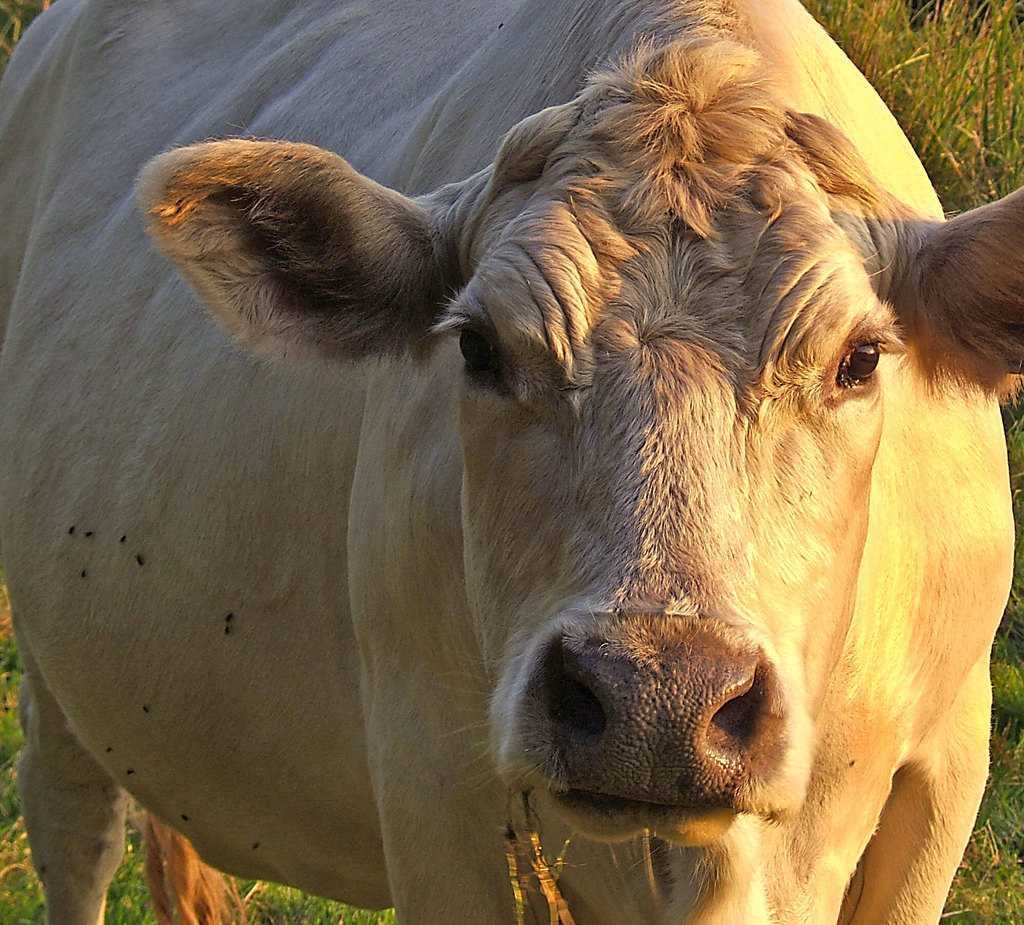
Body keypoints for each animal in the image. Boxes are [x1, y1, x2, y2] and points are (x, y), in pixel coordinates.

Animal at [1, 0, 1021, 922]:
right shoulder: (435, 793)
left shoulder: (947, 767)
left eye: (861, 357)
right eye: (478, 347)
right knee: (74, 824)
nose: (657, 696)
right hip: (53, 665)